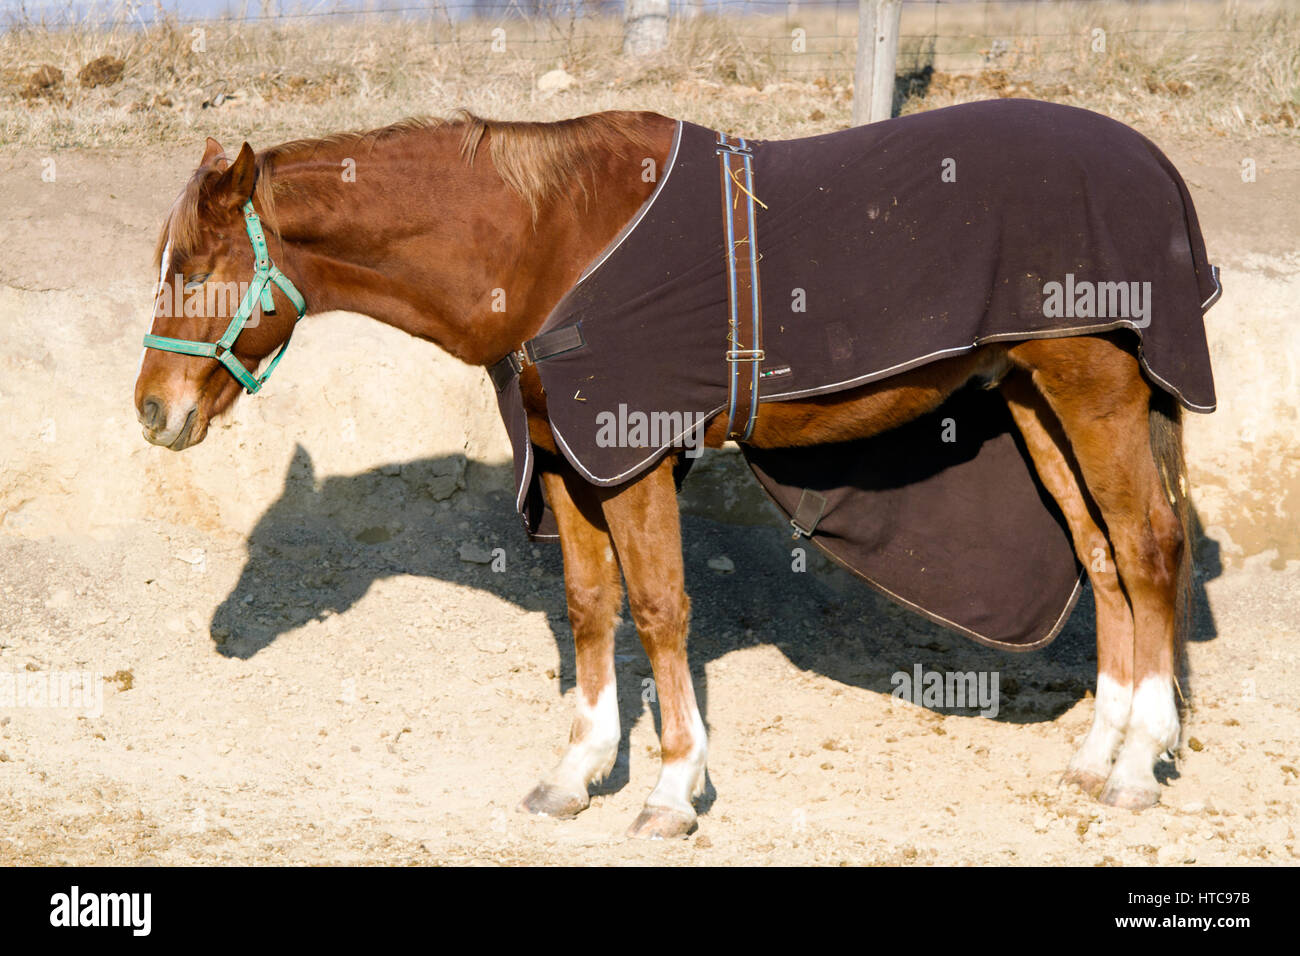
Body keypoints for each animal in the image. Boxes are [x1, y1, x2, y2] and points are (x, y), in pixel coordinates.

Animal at [134, 105, 1210, 839]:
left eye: (196, 268)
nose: (152, 411)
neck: (546, 240)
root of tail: (1152, 164)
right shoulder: (568, 460)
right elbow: (589, 605)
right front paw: (577, 771)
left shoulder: (631, 452)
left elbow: (657, 608)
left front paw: (670, 787)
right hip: (1034, 398)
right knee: (1101, 558)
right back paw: (1095, 752)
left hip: (1095, 390)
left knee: (1149, 550)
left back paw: (1137, 760)